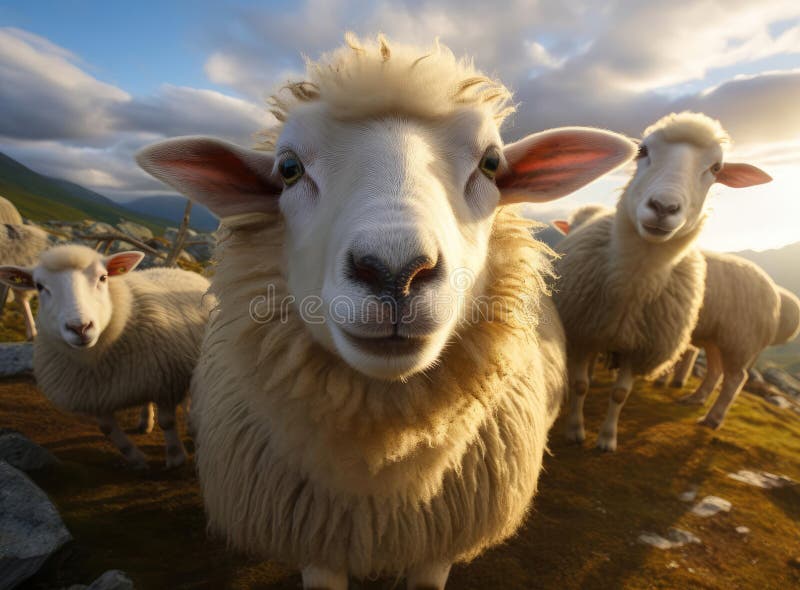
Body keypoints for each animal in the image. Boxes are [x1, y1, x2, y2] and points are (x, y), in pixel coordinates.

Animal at [0, 244, 213, 469]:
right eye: (39, 286)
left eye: (103, 277)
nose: (80, 327)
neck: (95, 360)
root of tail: (176, 269)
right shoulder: (95, 397)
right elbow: (109, 431)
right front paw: (138, 461)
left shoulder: (167, 381)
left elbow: (167, 422)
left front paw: (175, 458)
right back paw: (145, 422)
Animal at [136, 35, 637, 590]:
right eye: (288, 169)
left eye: (490, 163)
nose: (395, 270)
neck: (386, 474)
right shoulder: (320, 544)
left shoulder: (437, 544)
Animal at [553, 111, 772, 451]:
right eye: (642, 151)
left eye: (716, 168)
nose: (663, 207)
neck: (632, 286)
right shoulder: (583, 334)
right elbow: (580, 384)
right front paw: (576, 430)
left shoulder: (641, 347)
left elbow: (620, 394)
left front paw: (607, 439)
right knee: (720, 371)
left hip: (739, 339)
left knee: (734, 378)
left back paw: (710, 417)